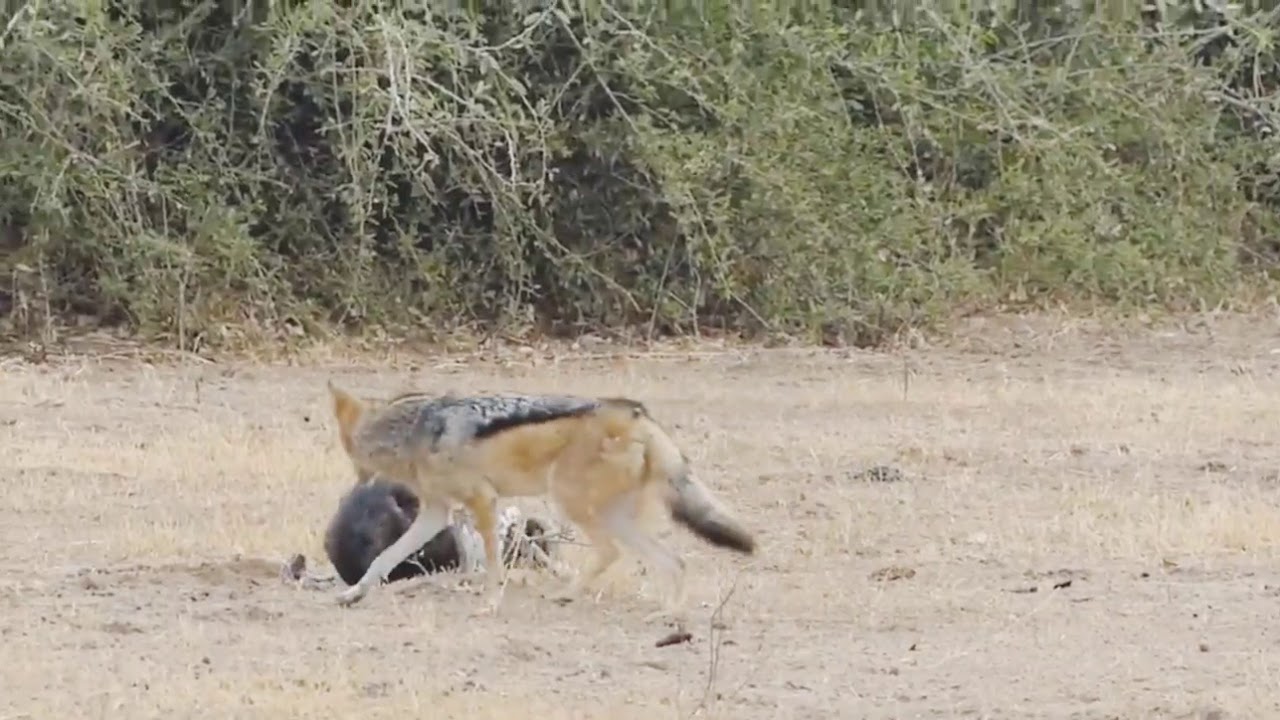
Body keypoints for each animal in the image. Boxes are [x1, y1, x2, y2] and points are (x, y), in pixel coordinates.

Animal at [325, 382, 757, 629]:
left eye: (350, 457)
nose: (355, 490)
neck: (414, 432)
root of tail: (636, 413)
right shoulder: (435, 514)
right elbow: (384, 559)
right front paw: (354, 595)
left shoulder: (483, 502)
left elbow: (491, 567)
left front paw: (489, 606)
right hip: (608, 515)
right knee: (671, 561)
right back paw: (665, 615)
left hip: (572, 503)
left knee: (614, 553)